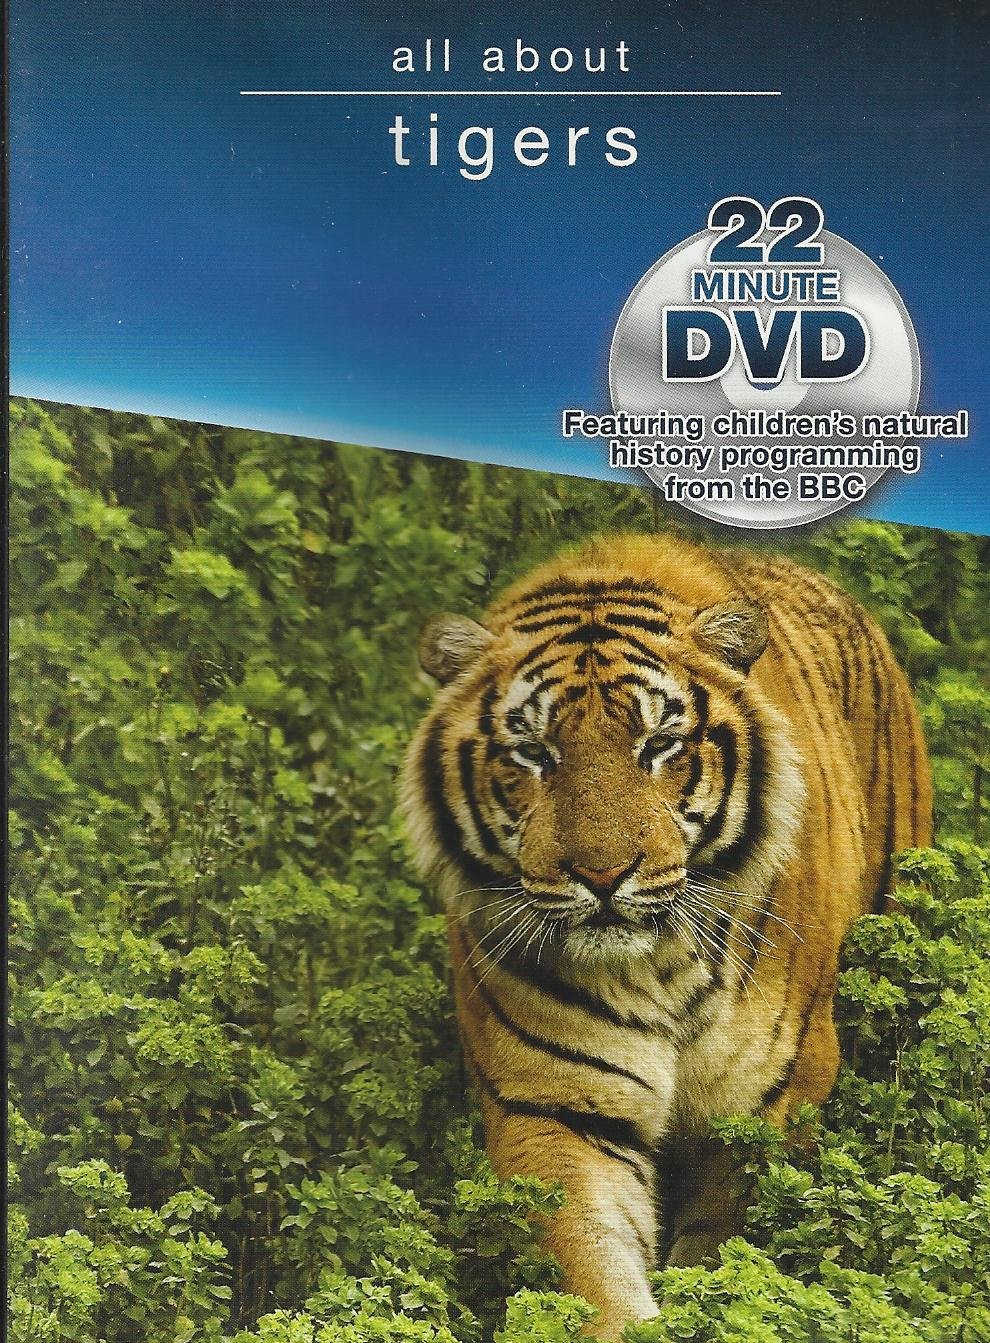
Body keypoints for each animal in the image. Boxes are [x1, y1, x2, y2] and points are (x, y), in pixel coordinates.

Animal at [400, 533, 931, 1339]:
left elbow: (727, 1248)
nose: (602, 873)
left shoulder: (767, 1103)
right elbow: (592, 1265)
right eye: (534, 753)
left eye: (658, 744)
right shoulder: (555, 1105)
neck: (656, 970)